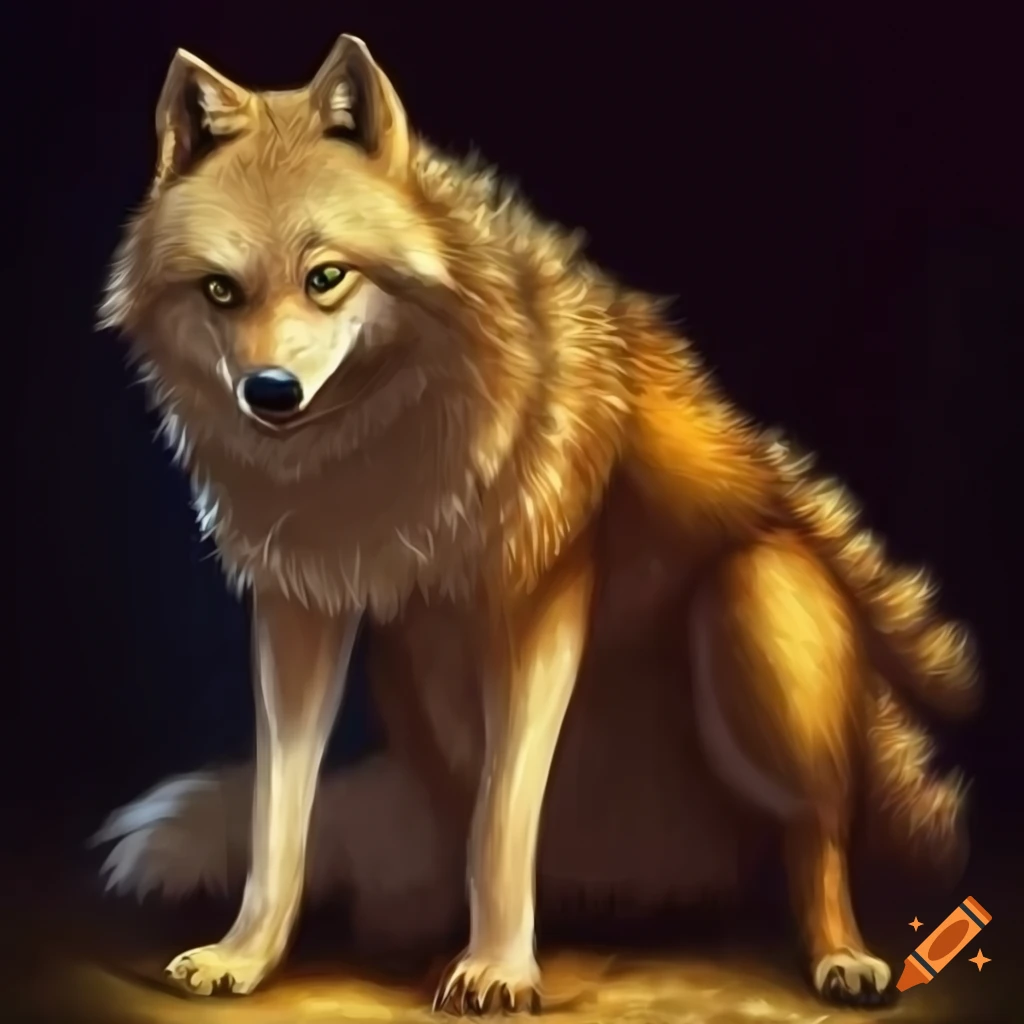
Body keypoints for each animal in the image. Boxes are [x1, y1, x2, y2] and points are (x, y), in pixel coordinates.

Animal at [95, 33, 979, 1014]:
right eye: (220, 291)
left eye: (326, 278)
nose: (270, 393)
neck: (376, 451)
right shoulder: (299, 608)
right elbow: (278, 816)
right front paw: (244, 955)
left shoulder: (536, 600)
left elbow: (503, 819)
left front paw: (496, 971)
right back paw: (407, 914)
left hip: (754, 600)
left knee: (815, 827)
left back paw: (841, 954)